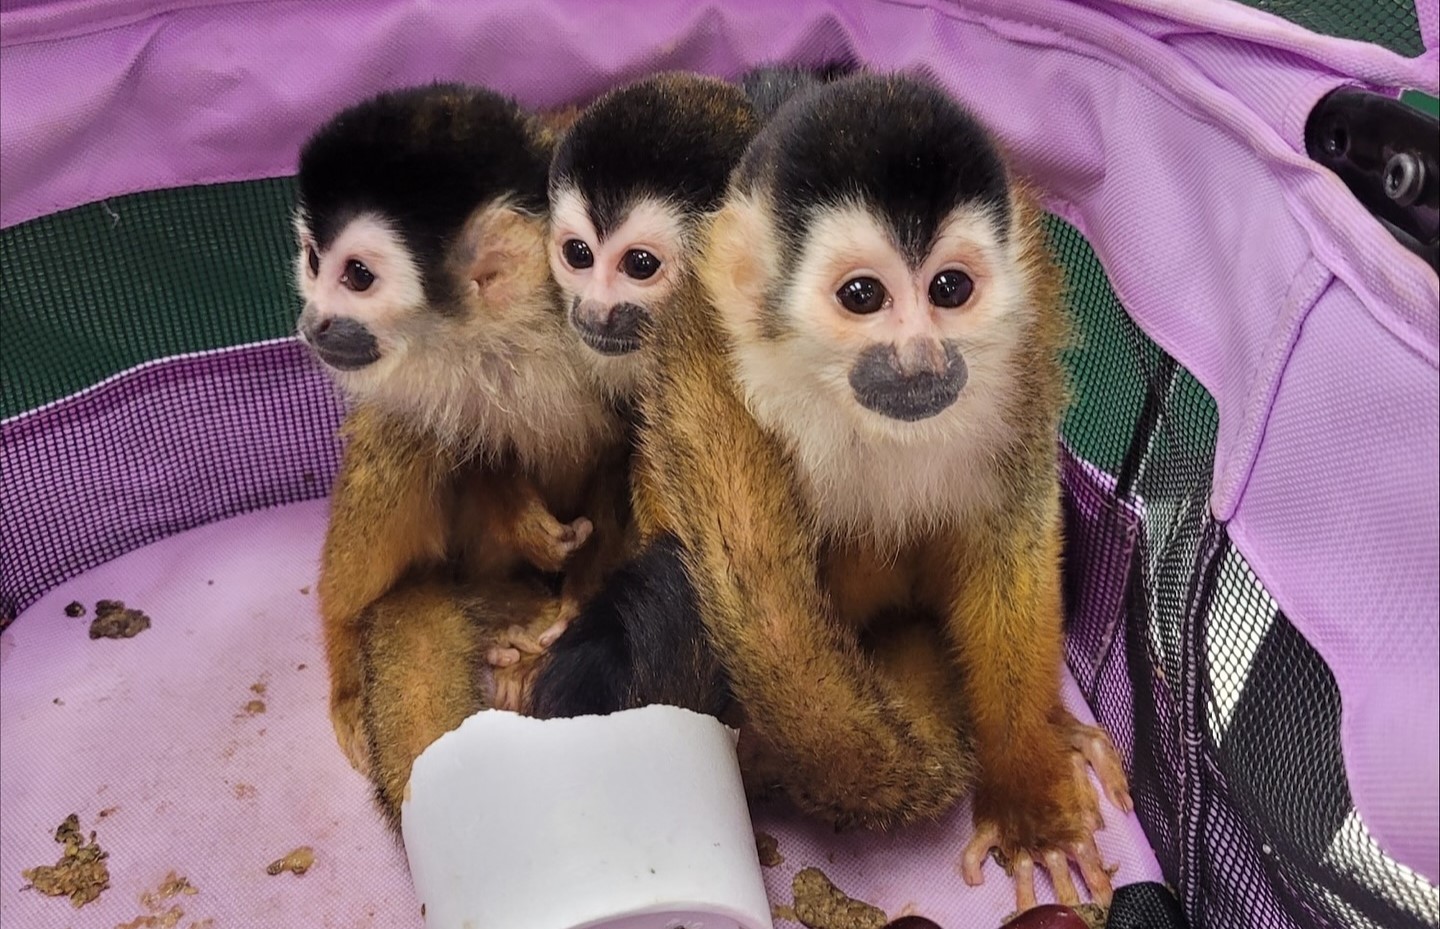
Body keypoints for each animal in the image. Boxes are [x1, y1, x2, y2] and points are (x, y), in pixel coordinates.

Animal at [293, 82, 629, 773]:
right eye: (312, 259)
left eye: (357, 276)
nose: (312, 323)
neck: (521, 331)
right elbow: (465, 447)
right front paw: (528, 525)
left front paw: (582, 597)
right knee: (403, 437)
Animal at [531, 72, 1132, 908]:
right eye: (862, 296)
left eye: (950, 287)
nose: (919, 358)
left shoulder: (1024, 362)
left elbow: (1009, 538)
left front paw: (1027, 791)